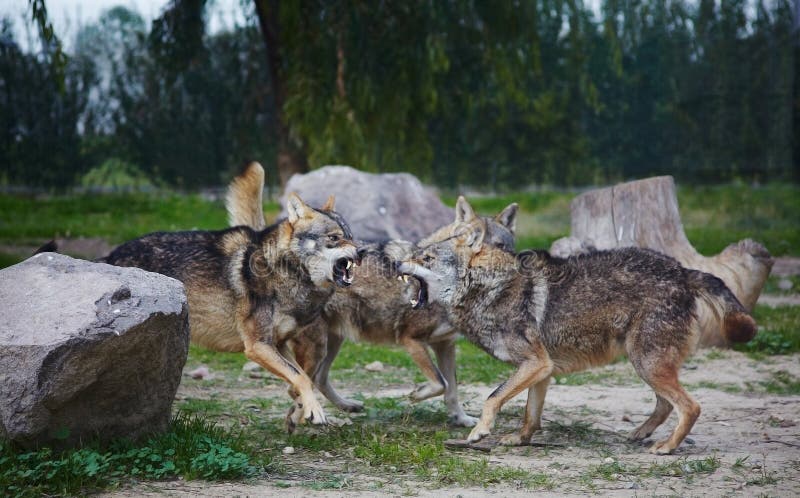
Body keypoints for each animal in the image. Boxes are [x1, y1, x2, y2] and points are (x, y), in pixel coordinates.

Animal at [99, 180, 359, 429]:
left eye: (351, 235)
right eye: (334, 238)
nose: (360, 253)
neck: (282, 269)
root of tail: (109, 256)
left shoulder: (277, 344)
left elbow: (301, 376)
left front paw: (299, 410)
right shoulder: (257, 346)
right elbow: (303, 377)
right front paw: (314, 411)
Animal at [225, 162, 518, 426]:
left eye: (500, 246)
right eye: (470, 243)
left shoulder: (446, 344)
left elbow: (452, 389)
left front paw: (461, 420)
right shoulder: (411, 340)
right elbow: (440, 382)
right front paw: (417, 394)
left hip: (333, 342)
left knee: (317, 379)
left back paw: (344, 408)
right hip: (318, 346)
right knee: (299, 384)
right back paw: (305, 421)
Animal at [398, 197, 757, 454]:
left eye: (426, 258)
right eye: (418, 254)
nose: (398, 262)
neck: (490, 286)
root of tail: (682, 271)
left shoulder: (535, 363)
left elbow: (492, 396)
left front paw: (480, 432)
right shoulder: (542, 369)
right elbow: (530, 415)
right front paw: (520, 439)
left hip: (647, 363)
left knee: (690, 406)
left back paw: (666, 447)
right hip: (647, 365)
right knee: (667, 405)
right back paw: (641, 434)